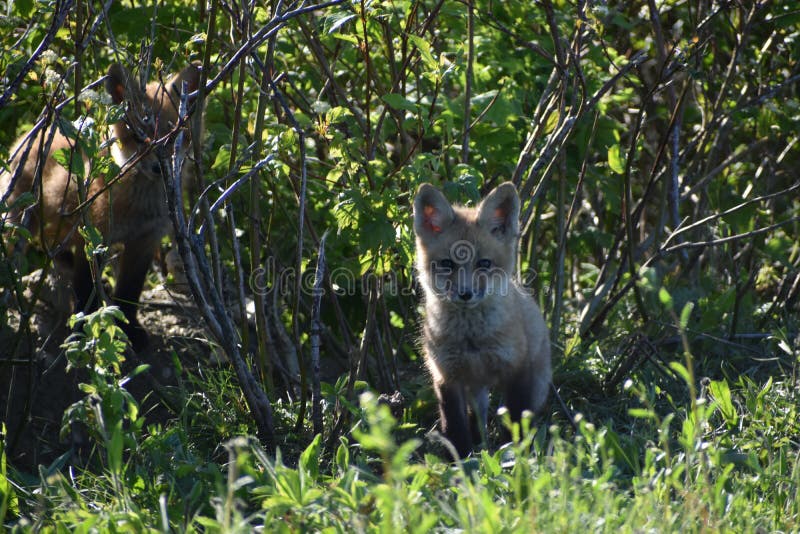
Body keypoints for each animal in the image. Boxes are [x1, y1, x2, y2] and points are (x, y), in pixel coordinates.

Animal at [1, 62, 202, 351]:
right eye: (139, 137)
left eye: (175, 136)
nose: (157, 167)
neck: (140, 207)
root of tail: (26, 138)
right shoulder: (94, 237)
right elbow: (86, 290)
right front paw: (83, 331)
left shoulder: (145, 241)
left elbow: (130, 292)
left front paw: (132, 330)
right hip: (21, 227)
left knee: (54, 246)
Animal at [413, 182, 552, 458]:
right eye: (447, 264)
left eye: (484, 263)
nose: (465, 294)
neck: (471, 340)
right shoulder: (446, 376)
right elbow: (455, 428)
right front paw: (462, 462)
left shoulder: (517, 370)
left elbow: (515, 424)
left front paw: (513, 457)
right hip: (475, 390)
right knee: (476, 419)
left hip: (537, 384)